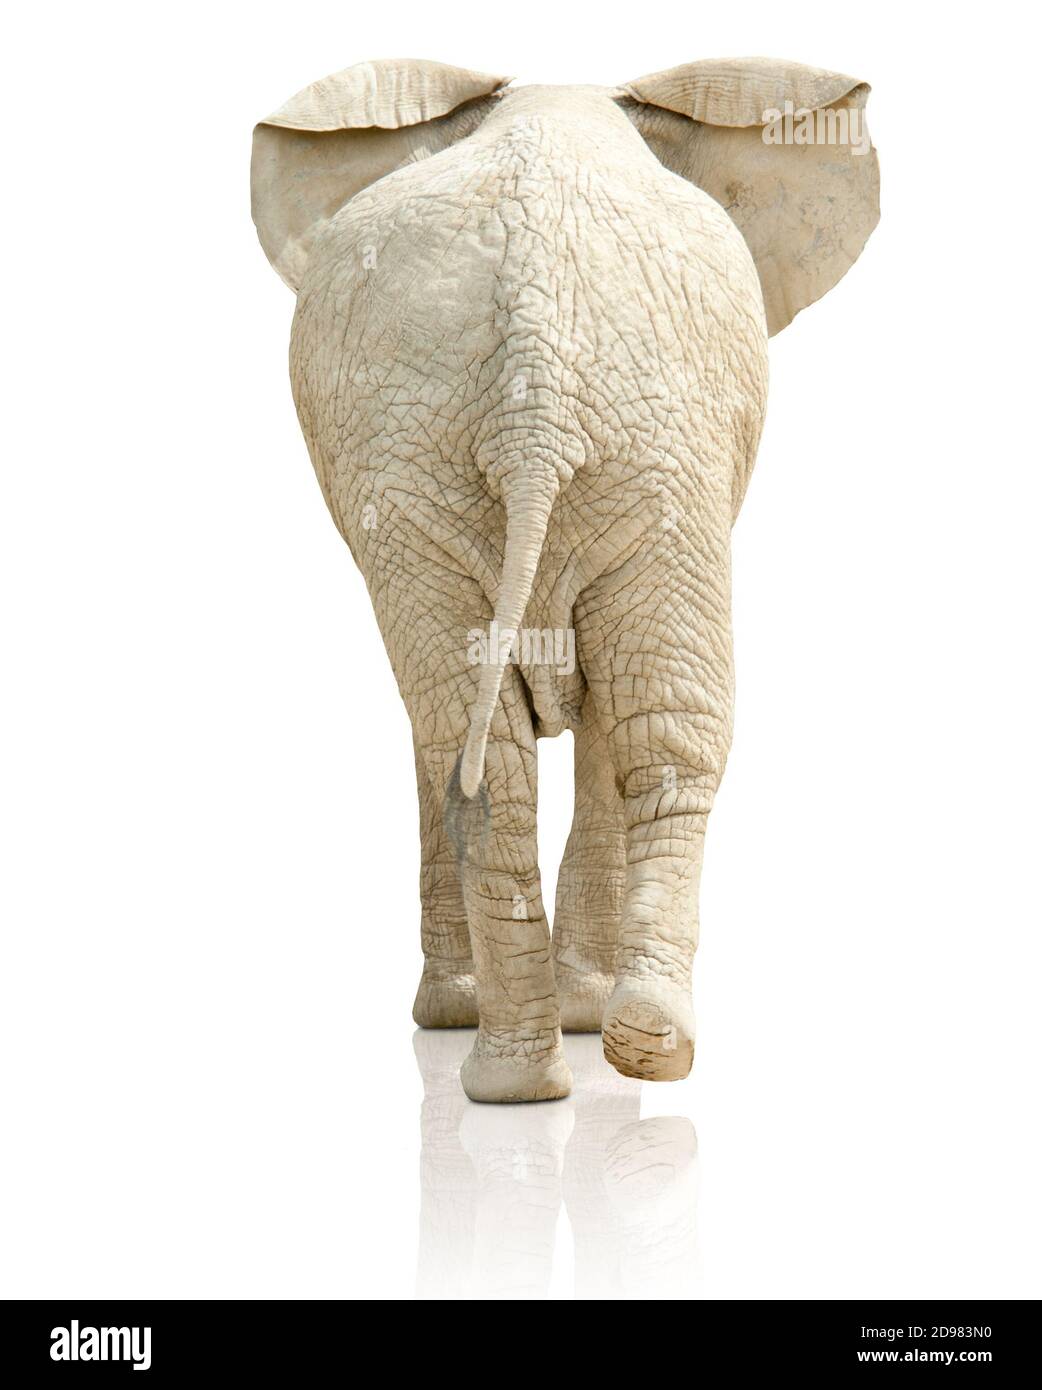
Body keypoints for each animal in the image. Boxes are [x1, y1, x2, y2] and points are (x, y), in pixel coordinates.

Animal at [251, 56, 879, 1103]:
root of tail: (532, 389)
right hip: (568, 448)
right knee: (590, 734)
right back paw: (578, 1064)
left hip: (603, 446)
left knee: (538, 738)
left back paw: (573, 1064)